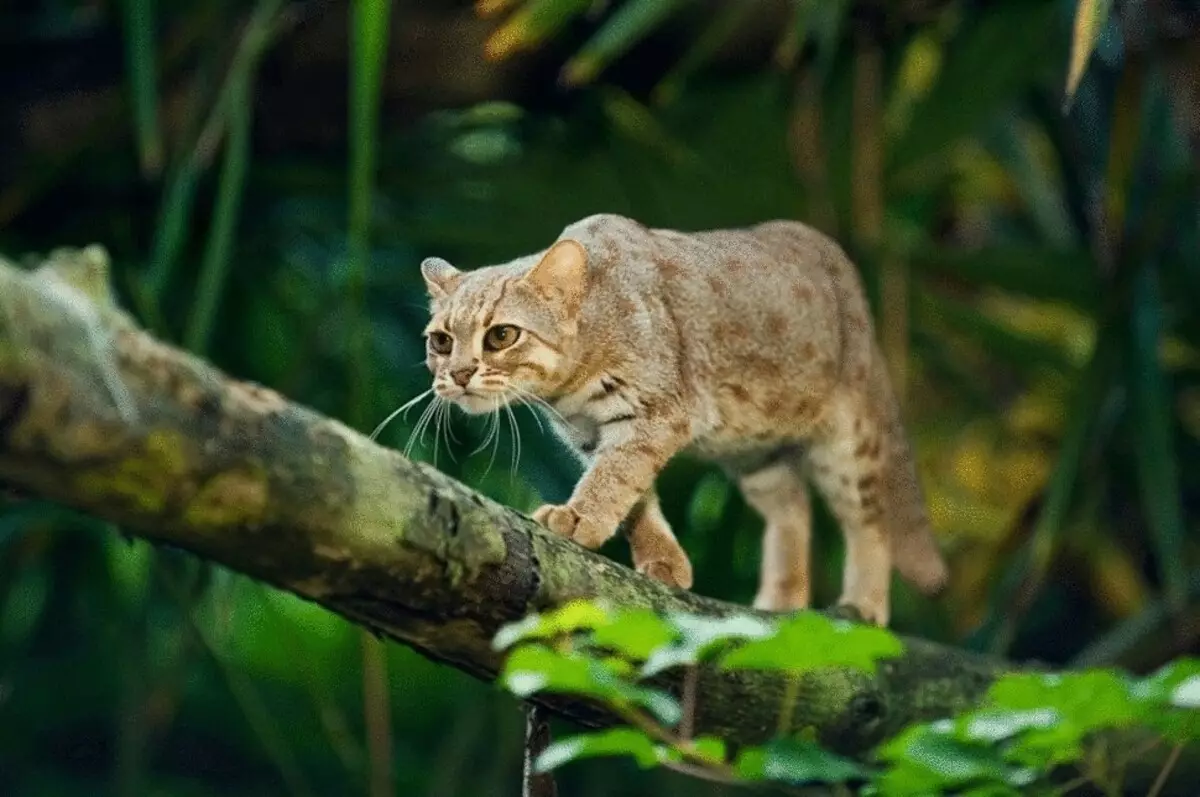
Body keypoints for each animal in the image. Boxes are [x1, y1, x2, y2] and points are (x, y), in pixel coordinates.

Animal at [412, 214, 945, 624]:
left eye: (501, 335)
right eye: (440, 340)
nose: (458, 375)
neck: (569, 389)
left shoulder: (656, 414)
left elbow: (615, 477)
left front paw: (578, 516)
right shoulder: (592, 435)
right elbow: (636, 498)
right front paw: (661, 558)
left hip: (846, 442)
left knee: (869, 518)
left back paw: (866, 602)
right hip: (757, 452)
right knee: (792, 508)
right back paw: (782, 600)